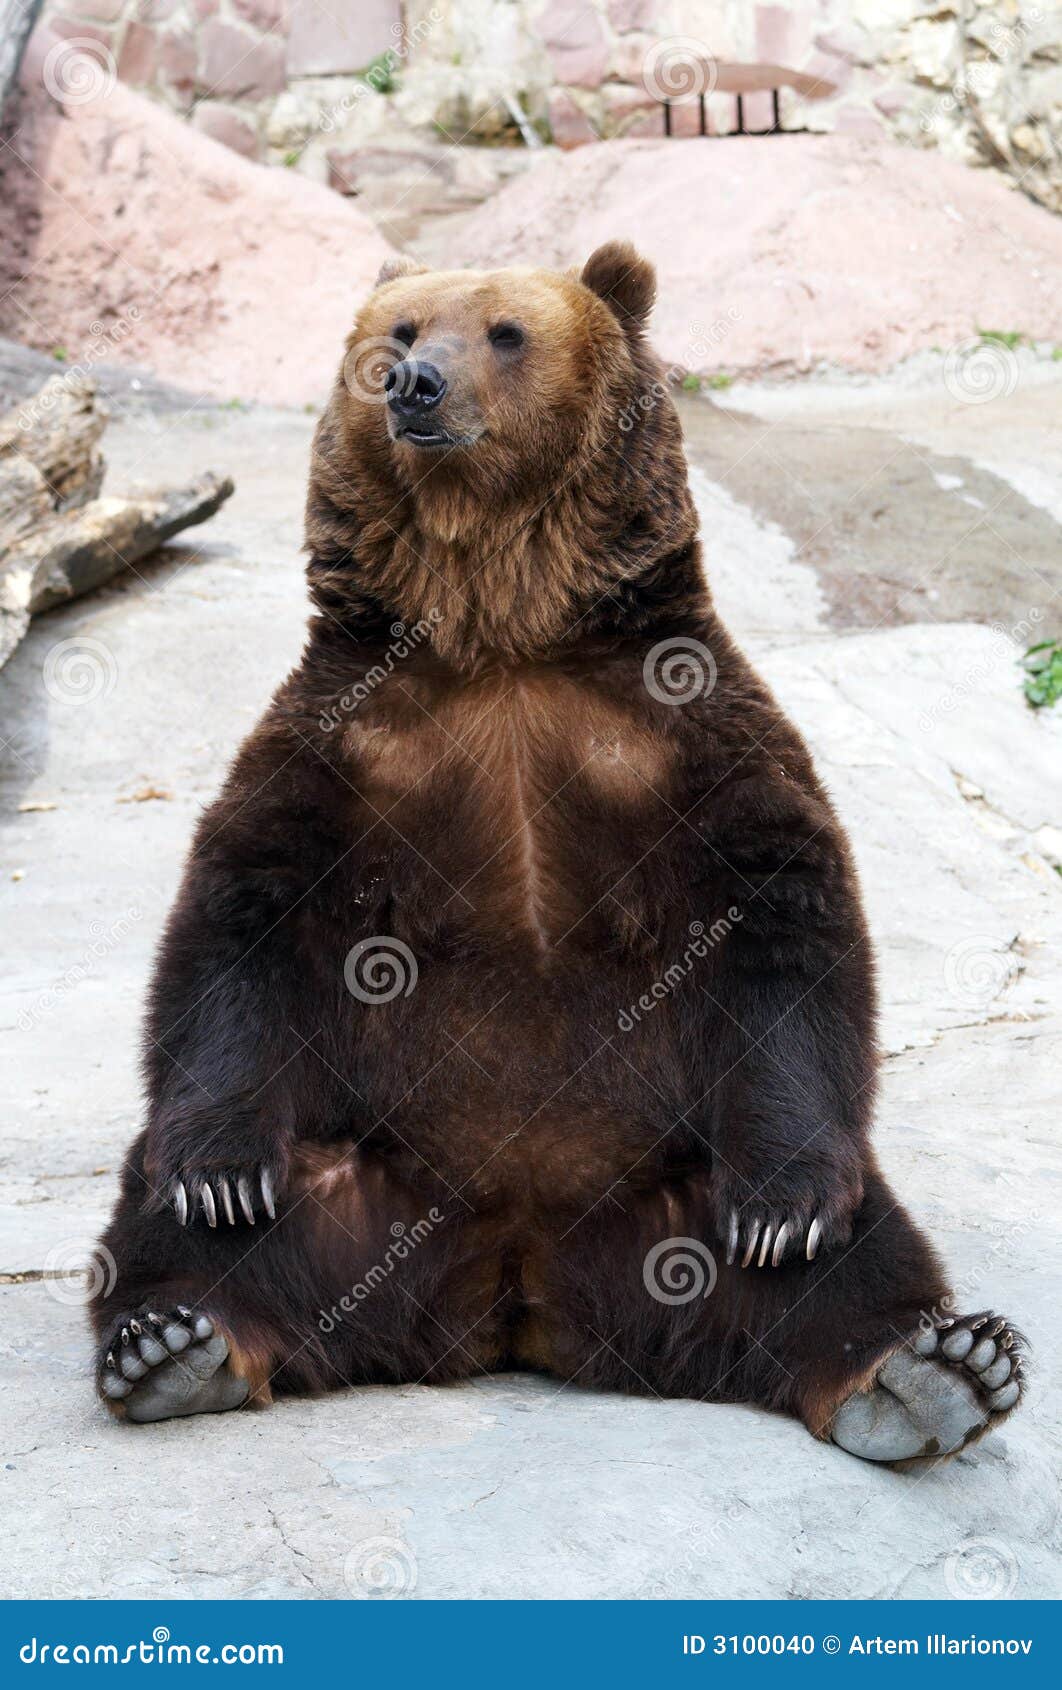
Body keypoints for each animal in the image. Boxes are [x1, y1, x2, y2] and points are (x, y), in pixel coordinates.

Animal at [90, 243, 1025, 1464]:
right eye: (399, 331)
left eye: (504, 331)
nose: (415, 384)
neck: (501, 629)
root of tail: (517, 1281)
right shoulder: (346, 736)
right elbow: (242, 914)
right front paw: (219, 1177)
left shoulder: (682, 725)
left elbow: (783, 913)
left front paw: (783, 1212)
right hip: (360, 1175)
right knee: (180, 1220)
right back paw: (173, 1343)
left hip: (677, 1187)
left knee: (856, 1250)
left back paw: (927, 1369)